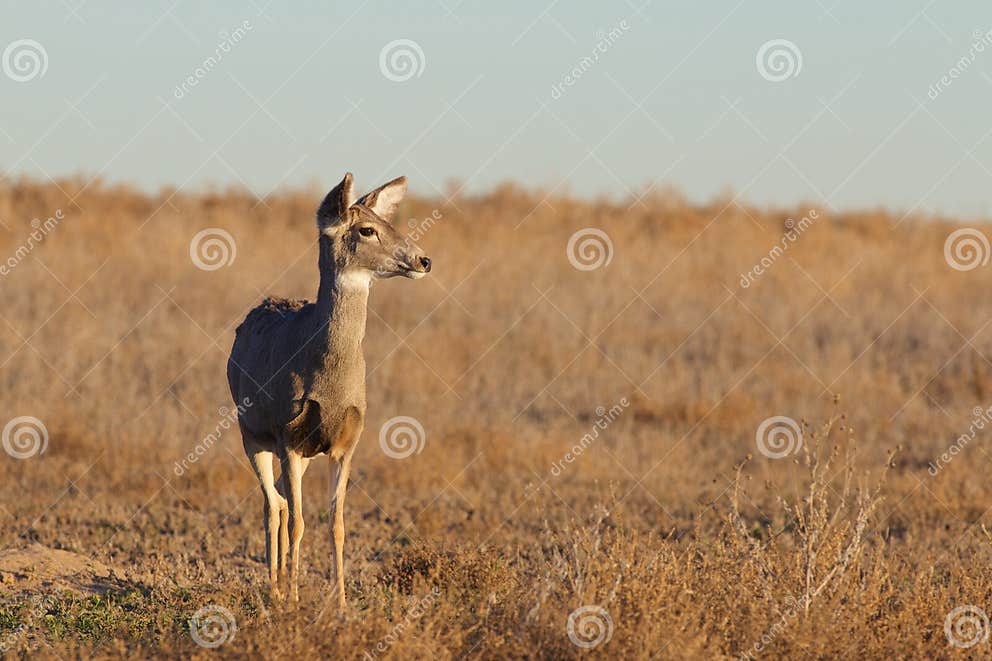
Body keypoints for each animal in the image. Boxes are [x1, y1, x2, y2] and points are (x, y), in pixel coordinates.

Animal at [227, 172, 431, 606]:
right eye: (367, 229)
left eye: (388, 221)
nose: (424, 260)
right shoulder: (287, 434)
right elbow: (299, 521)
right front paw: (295, 599)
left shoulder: (346, 442)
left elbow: (337, 523)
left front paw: (340, 603)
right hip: (251, 433)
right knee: (273, 506)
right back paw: (275, 590)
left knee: (280, 500)